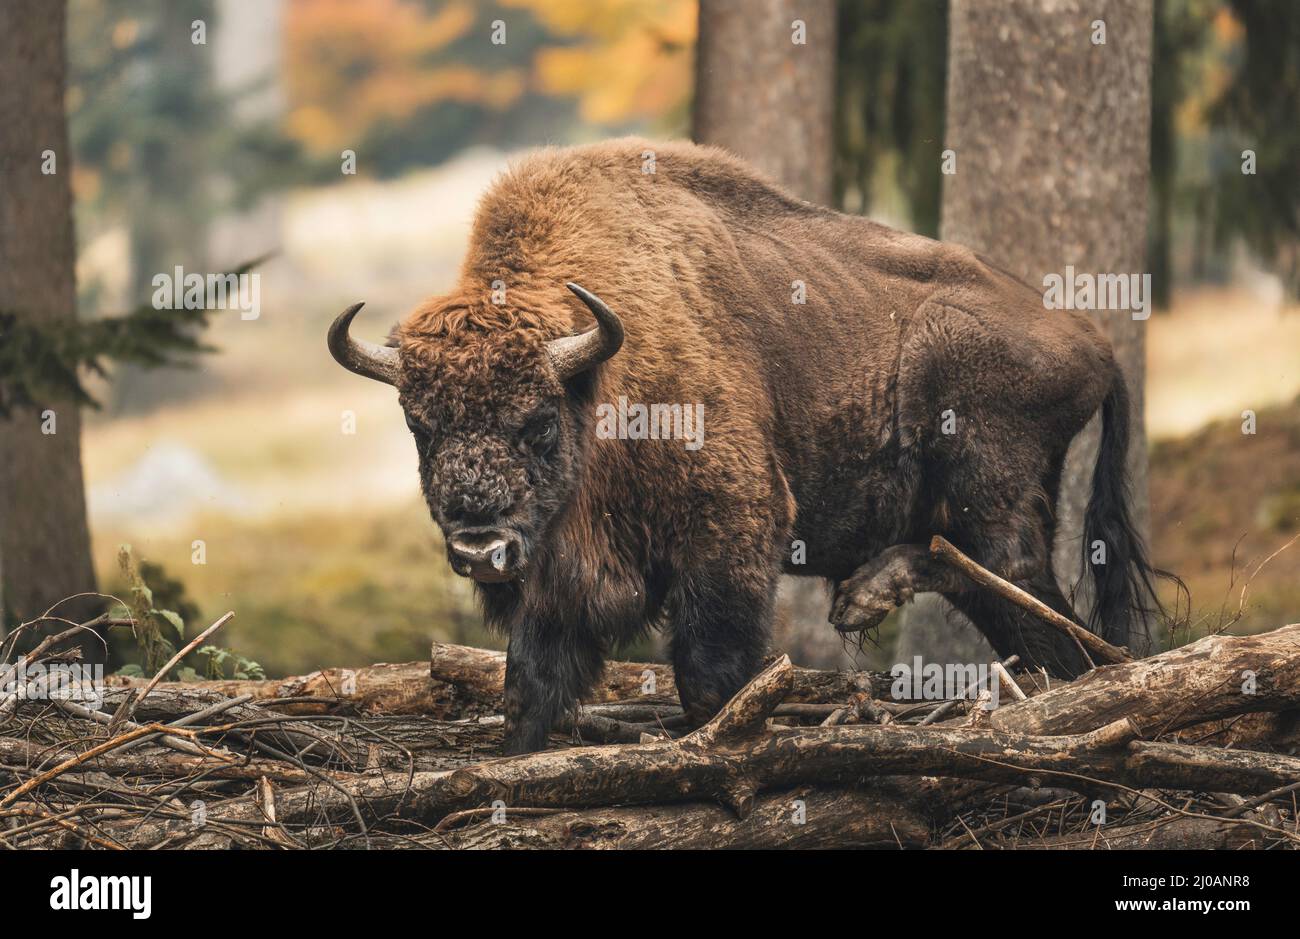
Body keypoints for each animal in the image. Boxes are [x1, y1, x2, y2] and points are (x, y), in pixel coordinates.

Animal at [329, 138, 1162, 754]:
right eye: (420, 424)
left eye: (536, 423)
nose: (479, 546)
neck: (601, 377)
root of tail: (1087, 338)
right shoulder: (559, 580)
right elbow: (530, 687)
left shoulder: (731, 529)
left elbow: (709, 672)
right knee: (1019, 615)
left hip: (990, 491)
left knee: (1029, 600)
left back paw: (873, 596)